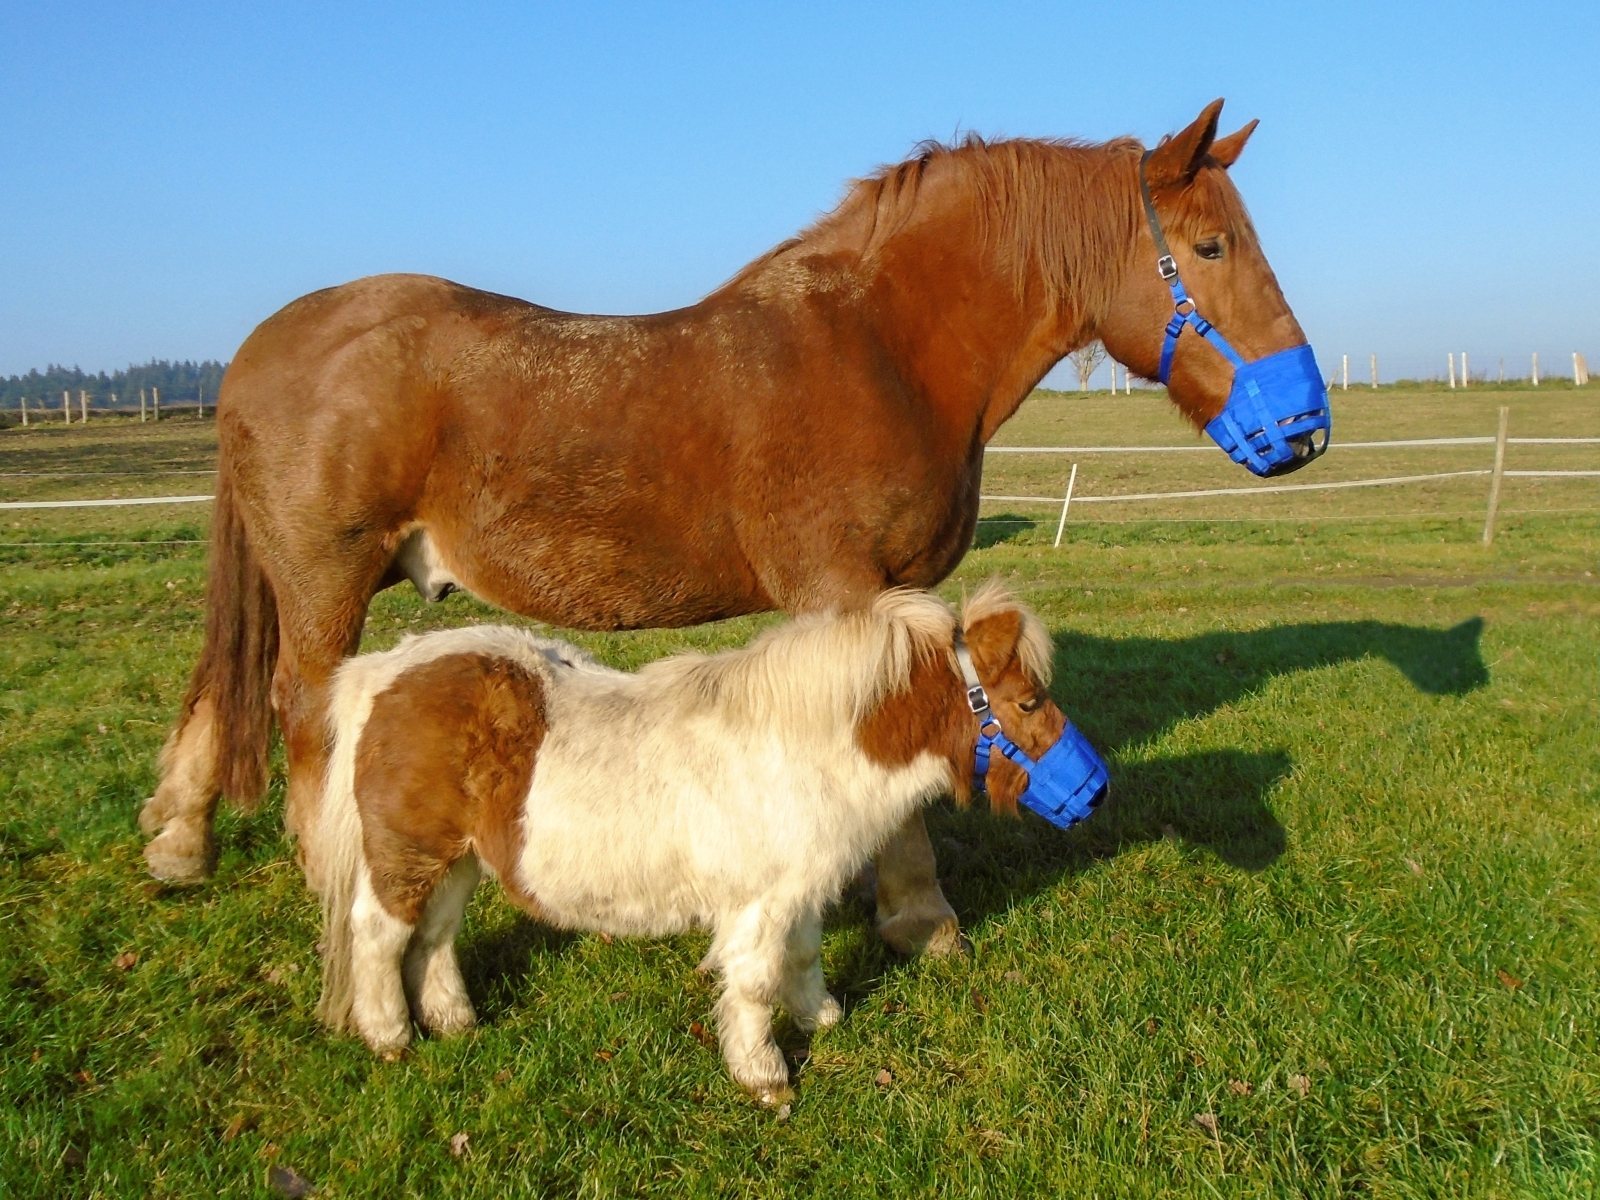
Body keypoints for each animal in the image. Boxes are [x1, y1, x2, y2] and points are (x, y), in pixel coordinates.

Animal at [138, 98, 1327, 956]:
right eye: (1211, 248)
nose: (1307, 424)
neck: (880, 349)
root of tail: (261, 346)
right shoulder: (847, 590)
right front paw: (921, 920)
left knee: (219, 691)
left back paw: (180, 840)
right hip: (325, 582)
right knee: (297, 712)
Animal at [312, 584, 1074, 1105]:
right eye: (1029, 702)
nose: (1092, 793)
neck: (799, 745)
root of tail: (383, 670)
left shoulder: (797, 892)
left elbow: (802, 957)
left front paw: (821, 1017)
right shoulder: (759, 905)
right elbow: (755, 982)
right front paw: (765, 1077)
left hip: (459, 859)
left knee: (436, 936)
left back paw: (455, 1023)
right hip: (407, 856)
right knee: (379, 935)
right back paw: (391, 1038)